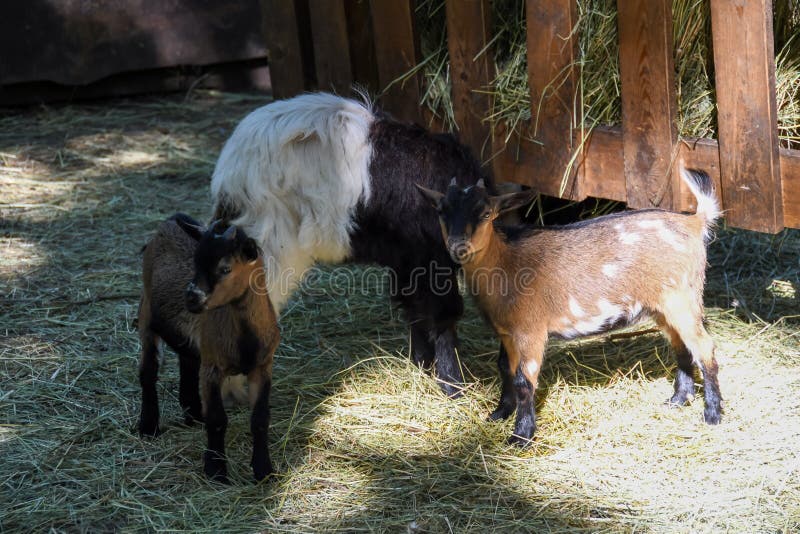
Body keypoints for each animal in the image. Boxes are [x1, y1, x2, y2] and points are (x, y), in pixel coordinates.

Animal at [138, 215, 279, 482]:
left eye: (225, 268)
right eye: (196, 263)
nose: (191, 297)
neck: (244, 341)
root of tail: (169, 220)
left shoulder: (263, 366)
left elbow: (260, 419)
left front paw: (263, 470)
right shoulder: (213, 367)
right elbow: (217, 420)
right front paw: (216, 470)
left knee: (187, 360)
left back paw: (193, 414)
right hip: (146, 314)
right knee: (147, 371)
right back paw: (148, 427)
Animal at [210, 92, 501, 397]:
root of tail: (228, 175)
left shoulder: (407, 259)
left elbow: (413, 307)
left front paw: (422, 365)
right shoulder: (432, 258)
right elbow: (443, 314)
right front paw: (452, 385)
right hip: (266, 246)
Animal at [416, 169, 723, 446]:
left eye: (486, 213)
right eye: (442, 211)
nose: (459, 247)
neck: (506, 264)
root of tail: (695, 222)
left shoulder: (531, 331)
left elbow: (524, 381)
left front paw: (521, 436)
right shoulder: (508, 332)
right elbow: (505, 368)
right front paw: (499, 413)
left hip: (682, 298)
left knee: (704, 348)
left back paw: (712, 414)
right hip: (663, 306)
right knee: (682, 347)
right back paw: (678, 400)